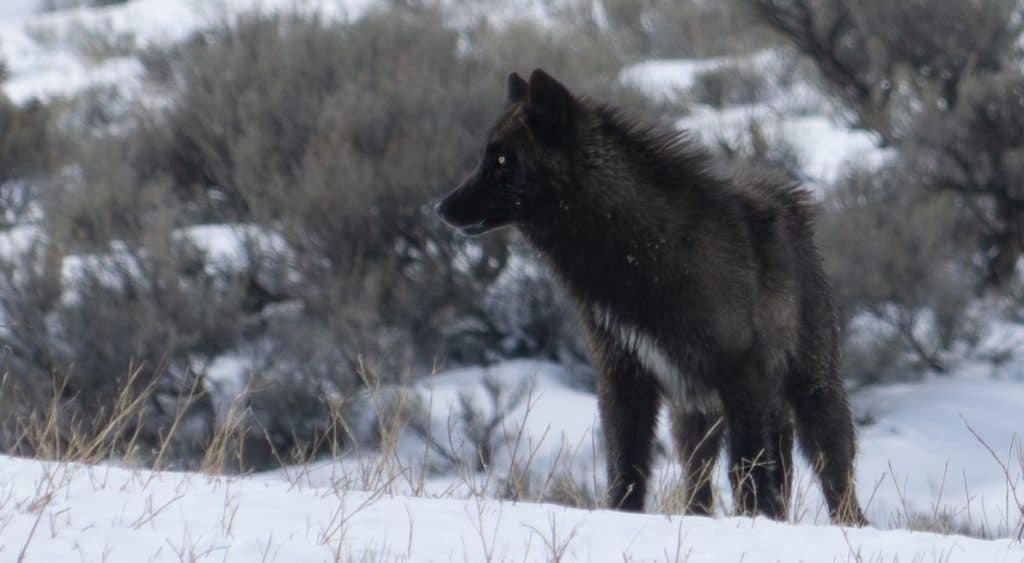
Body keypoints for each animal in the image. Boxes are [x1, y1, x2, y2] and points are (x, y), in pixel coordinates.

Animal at [436, 69, 867, 525]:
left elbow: (746, 474)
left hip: (813, 396)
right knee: (700, 484)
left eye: (502, 160)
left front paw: (751, 523)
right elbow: (626, 470)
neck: (637, 251)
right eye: (485, 157)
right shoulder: (623, 378)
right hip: (695, 417)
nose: (441, 208)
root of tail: (790, 198)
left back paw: (848, 525)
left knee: (837, 483)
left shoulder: (742, 381)